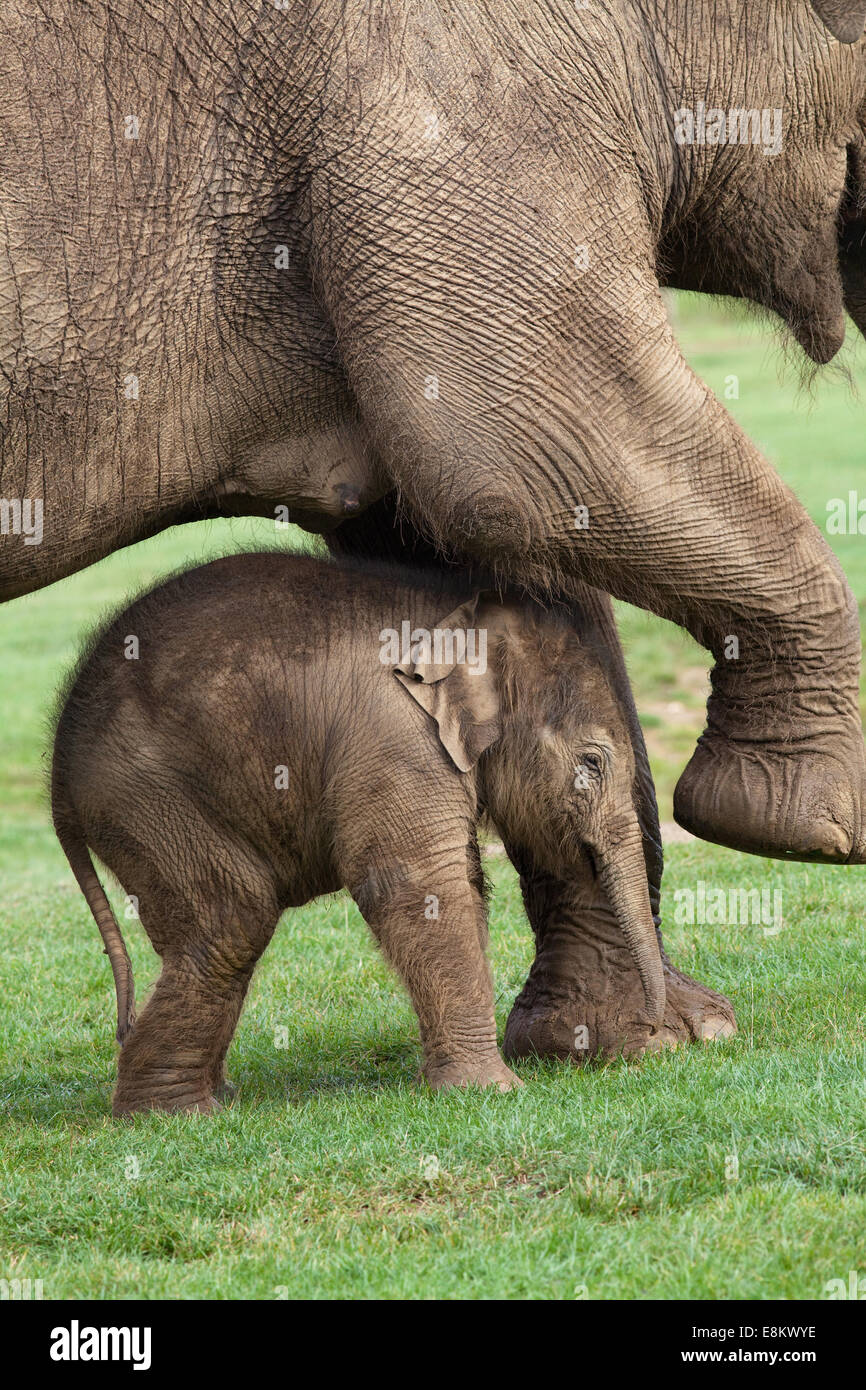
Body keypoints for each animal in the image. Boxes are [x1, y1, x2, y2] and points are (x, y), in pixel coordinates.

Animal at [48, 548, 715, 1113]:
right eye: (592, 763)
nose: (654, 1031)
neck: (464, 619)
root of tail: (56, 776)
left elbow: (462, 882)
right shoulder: (395, 736)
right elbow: (415, 883)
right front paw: (491, 1092)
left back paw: (214, 1099)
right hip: (148, 798)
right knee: (231, 919)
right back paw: (173, 1115)